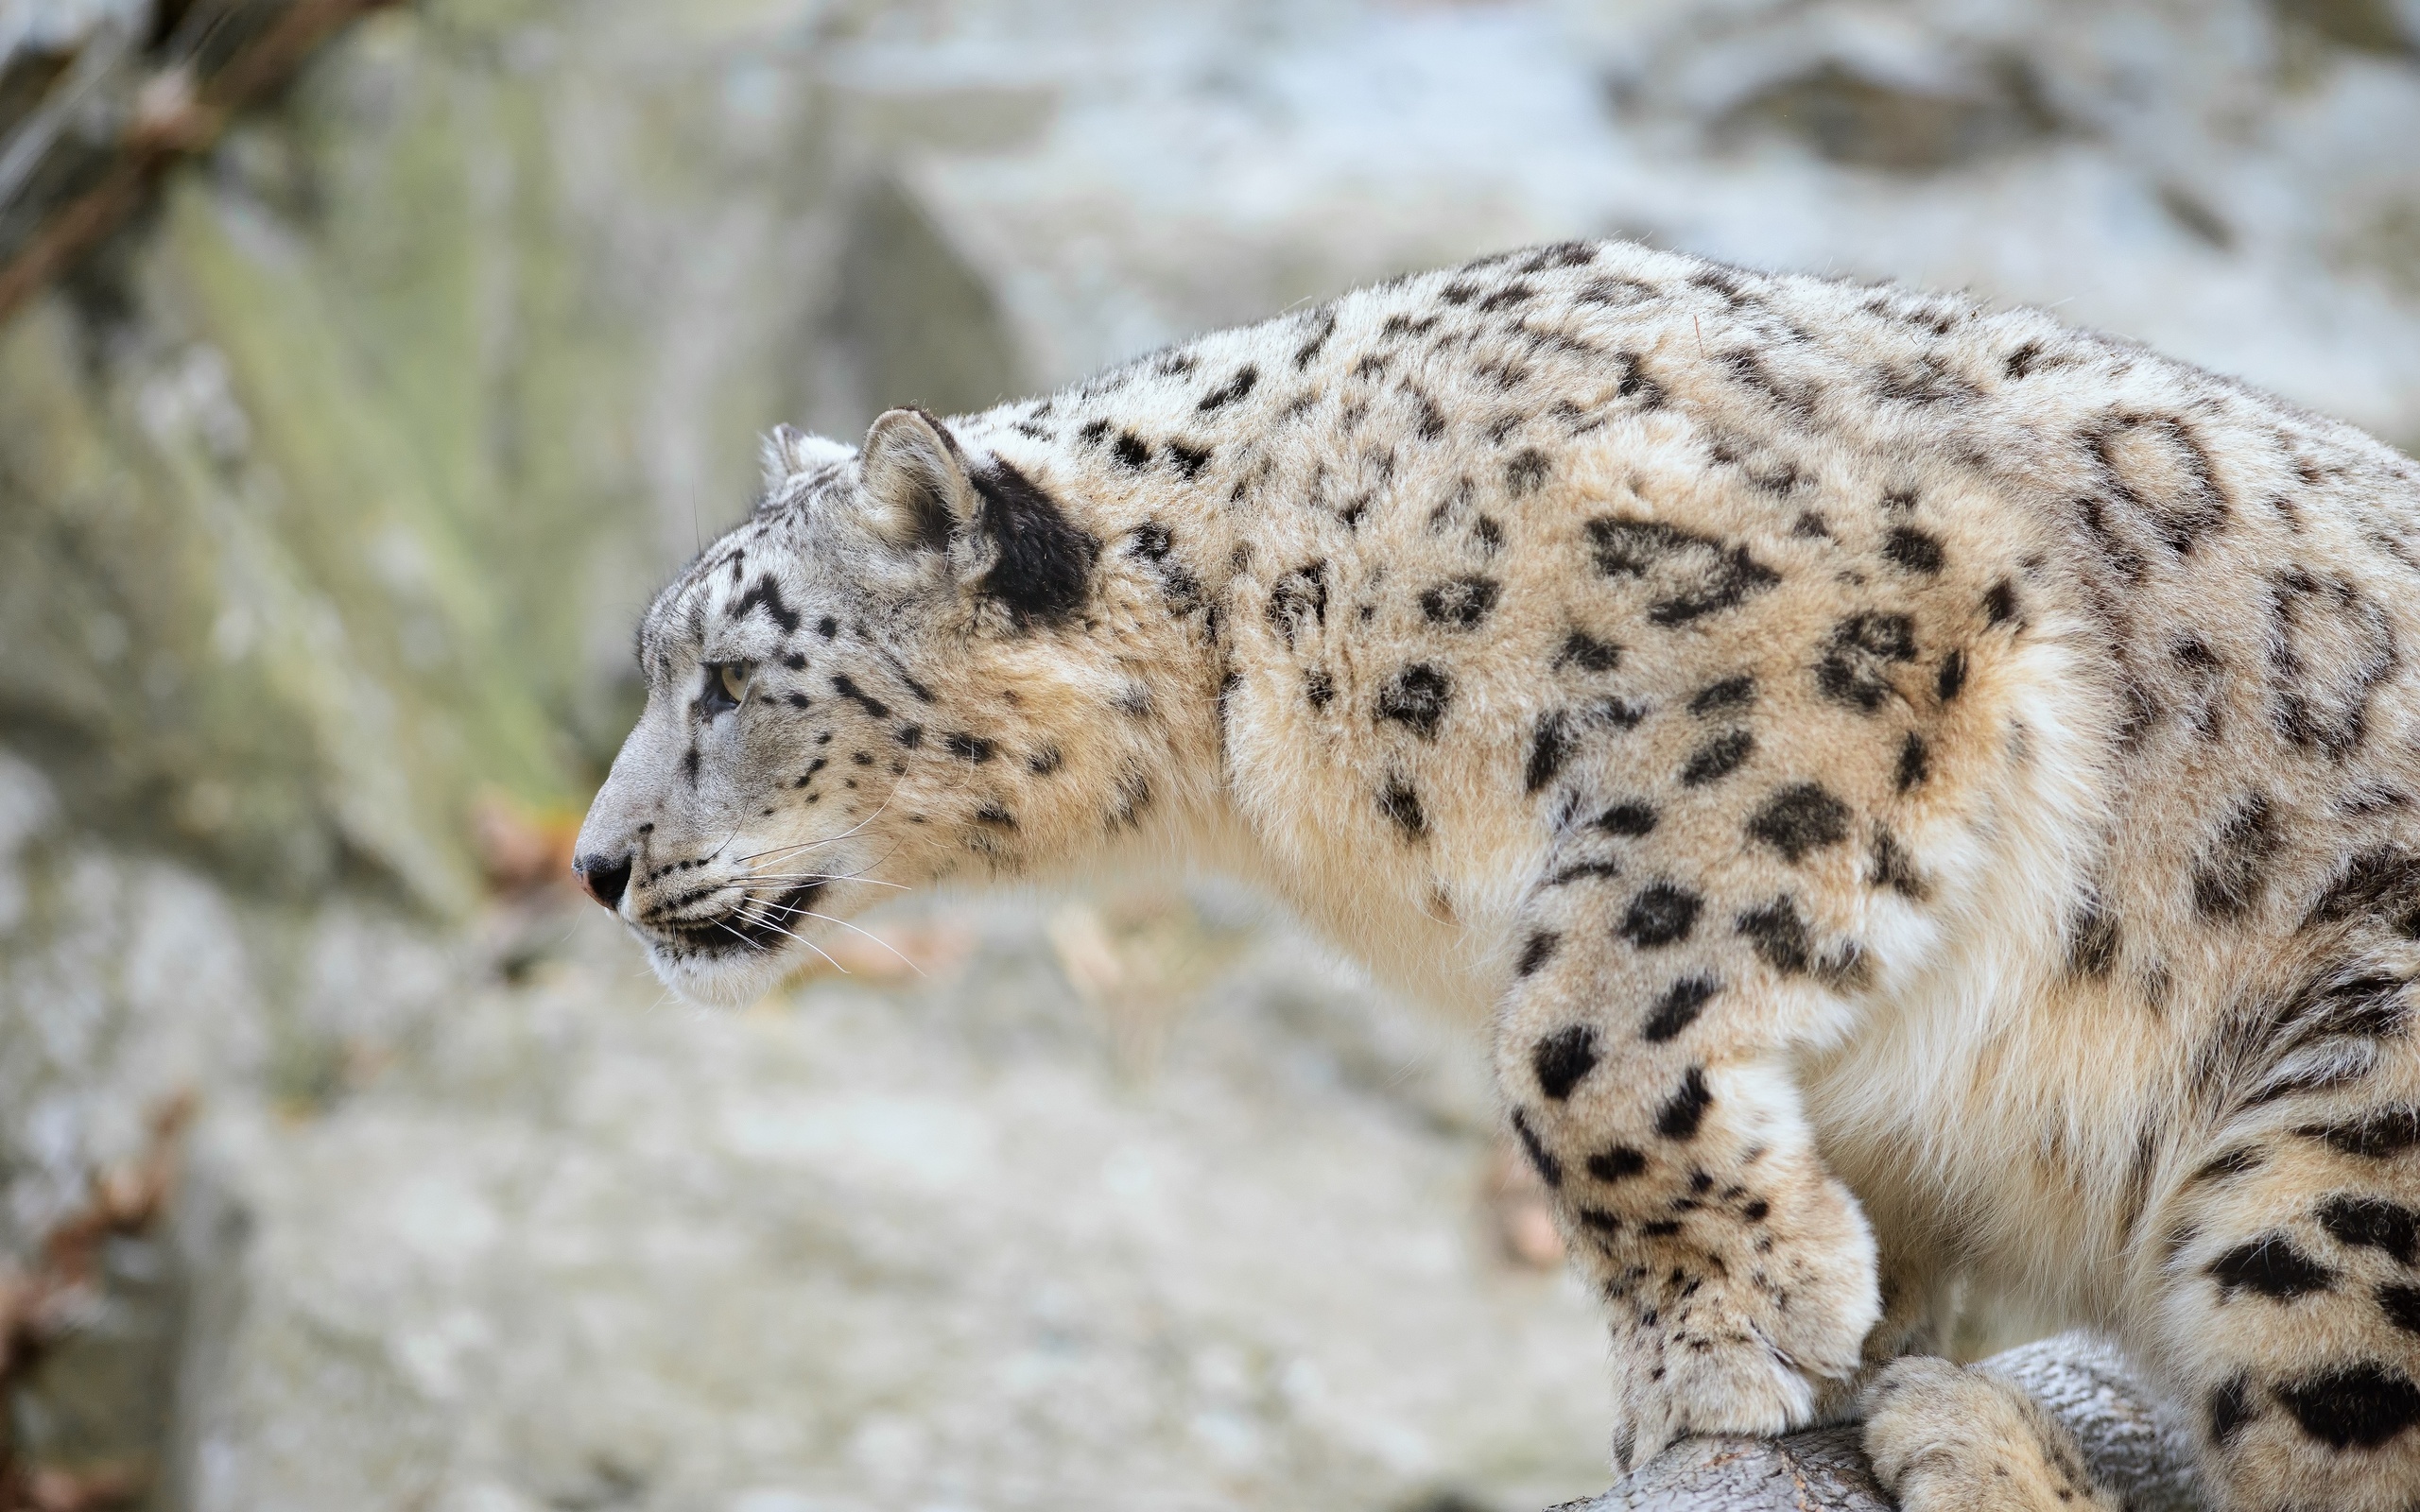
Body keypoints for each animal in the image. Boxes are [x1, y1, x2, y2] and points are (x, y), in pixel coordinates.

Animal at [572, 237, 2420, 1511]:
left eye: (725, 680)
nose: (595, 864)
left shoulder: (1816, 660)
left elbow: (1580, 1038)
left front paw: (1724, 1348)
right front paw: (1844, 1314)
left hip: (2338, 1148)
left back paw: (1982, 1446)